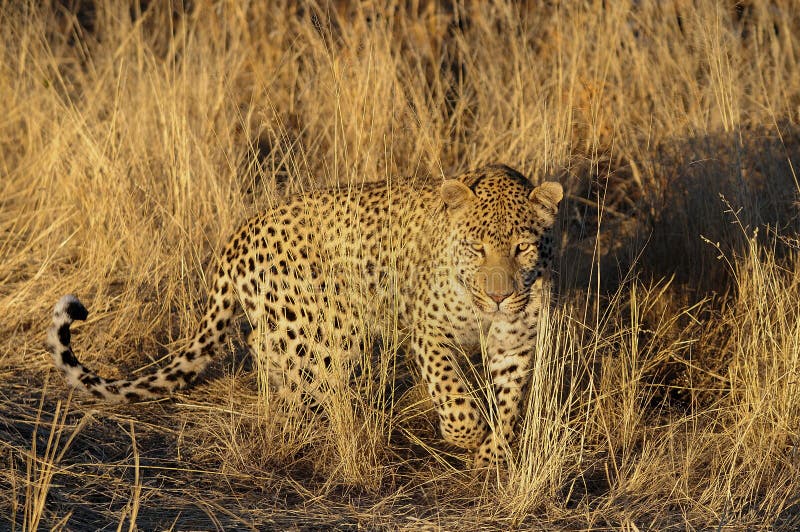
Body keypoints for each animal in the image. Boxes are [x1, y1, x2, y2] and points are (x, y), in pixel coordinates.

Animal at [46, 164, 563, 468]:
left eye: (521, 248)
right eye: (477, 248)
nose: (498, 297)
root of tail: (238, 234)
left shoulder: (515, 342)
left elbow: (511, 401)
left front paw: (494, 451)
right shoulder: (429, 330)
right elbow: (450, 388)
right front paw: (467, 433)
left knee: (263, 348)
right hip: (326, 327)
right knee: (289, 365)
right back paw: (315, 417)